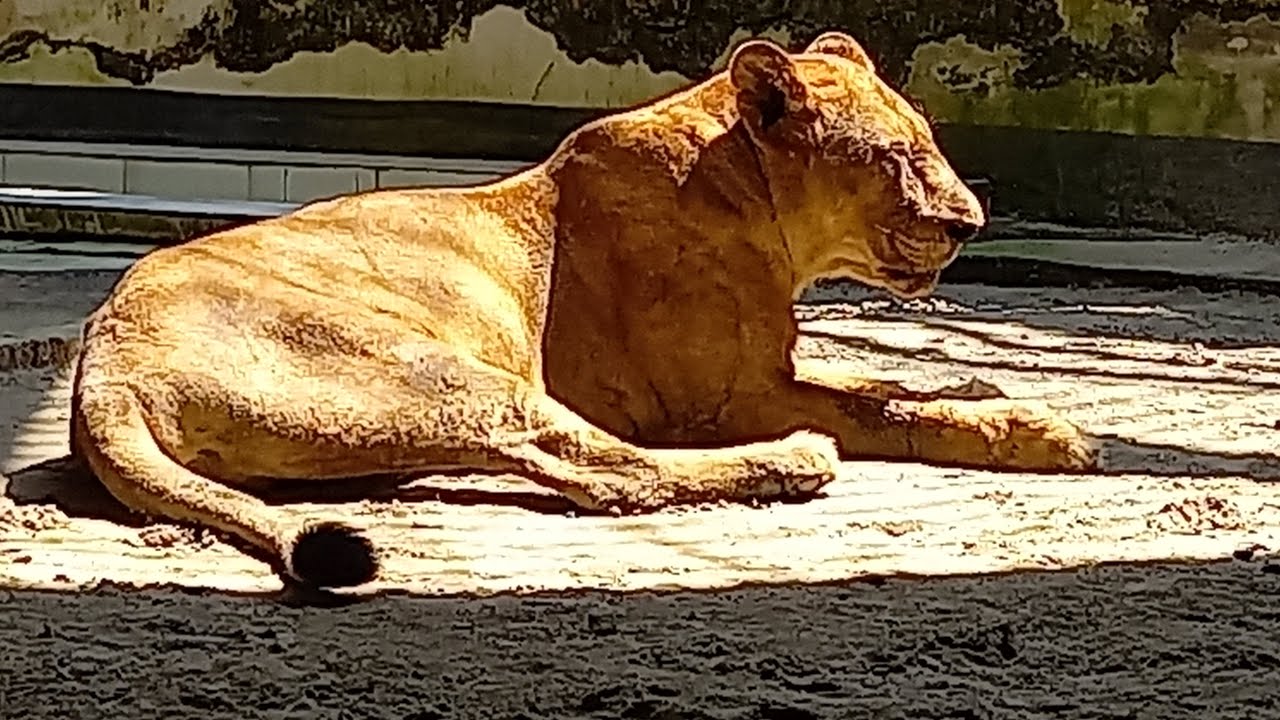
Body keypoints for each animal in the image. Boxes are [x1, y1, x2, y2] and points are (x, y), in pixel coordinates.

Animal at [68, 32, 1096, 589]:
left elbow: (884, 377)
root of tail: (101, 375)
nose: (969, 224)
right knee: (613, 477)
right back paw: (794, 463)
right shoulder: (729, 401)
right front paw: (1037, 434)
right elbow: (892, 408)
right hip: (439, 369)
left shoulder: (774, 367)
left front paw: (995, 393)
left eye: (926, 140)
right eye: (892, 157)